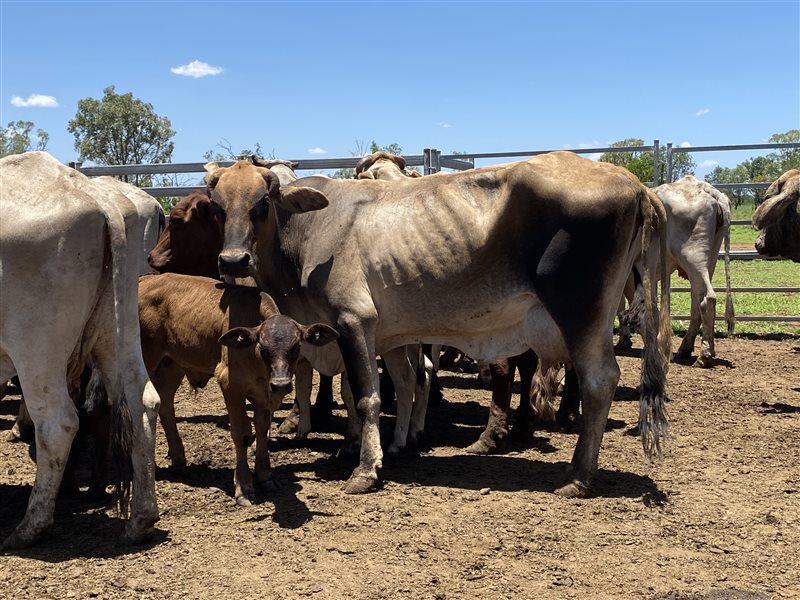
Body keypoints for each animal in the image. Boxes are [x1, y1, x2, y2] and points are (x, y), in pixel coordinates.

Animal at [0, 151, 160, 548]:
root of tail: (93, 193)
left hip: (37, 348)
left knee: (58, 423)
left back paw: (29, 528)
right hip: (117, 332)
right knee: (142, 401)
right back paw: (140, 521)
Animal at [138, 273, 338, 505]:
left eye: (297, 346)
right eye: (263, 347)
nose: (281, 384)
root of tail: (145, 279)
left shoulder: (265, 393)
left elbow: (262, 429)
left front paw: (266, 477)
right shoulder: (230, 384)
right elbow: (242, 433)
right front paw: (244, 487)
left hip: (172, 363)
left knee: (165, 403)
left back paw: (179, 458)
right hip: (148, 360)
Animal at [205, 151, 672, 498]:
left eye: (263, 202)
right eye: (217, 206)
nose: (233, 260)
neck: (309, 233)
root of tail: (633, 183)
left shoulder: (353, 321)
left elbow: (367, 397)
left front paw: (365, 470)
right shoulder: (389, 335)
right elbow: (400, 384)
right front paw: (388, 447)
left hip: (579, 314)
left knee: (599, 380)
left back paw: (577, 476)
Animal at [618, 176, 734, 367]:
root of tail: (706, 188)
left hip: (693, 256)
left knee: (707, 298)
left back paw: (704, 356)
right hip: (710, 259)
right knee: (697, 302)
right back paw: (687, 349)